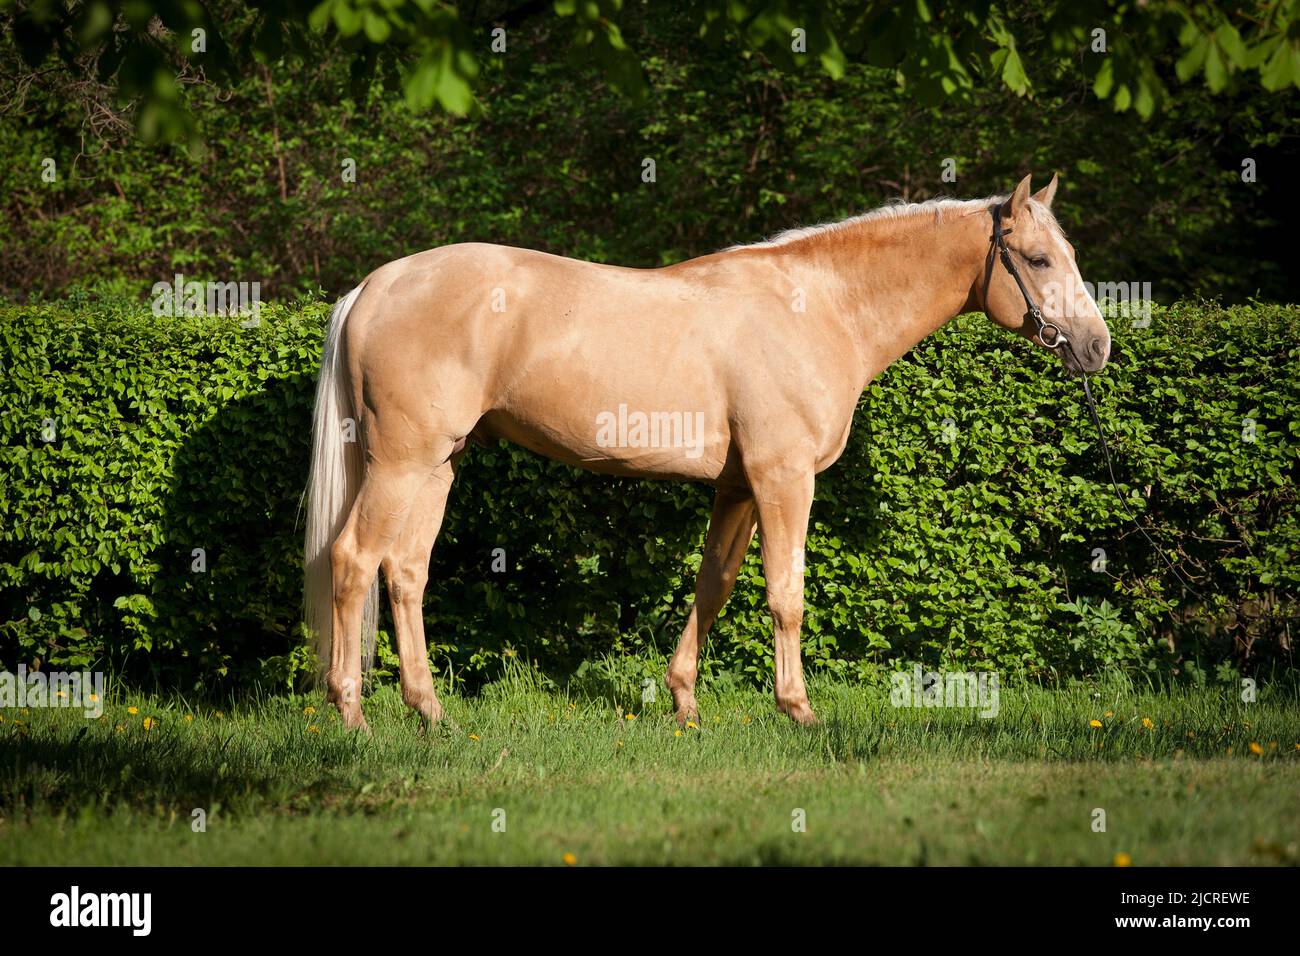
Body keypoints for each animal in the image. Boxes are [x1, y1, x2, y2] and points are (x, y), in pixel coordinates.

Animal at [303, 173, 1110, 731]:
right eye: (1038, 259)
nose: (1097, 347)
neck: (819, 307)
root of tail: (372, 286)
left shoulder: (738, 487)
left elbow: (713, 584)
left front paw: (685, 703)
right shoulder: (783, 479)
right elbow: (786, 593)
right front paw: (798, 710)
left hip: (436, 467)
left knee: (406, 572)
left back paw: (430, 711)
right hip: (401, 464)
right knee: (354, 561)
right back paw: (353, 714)